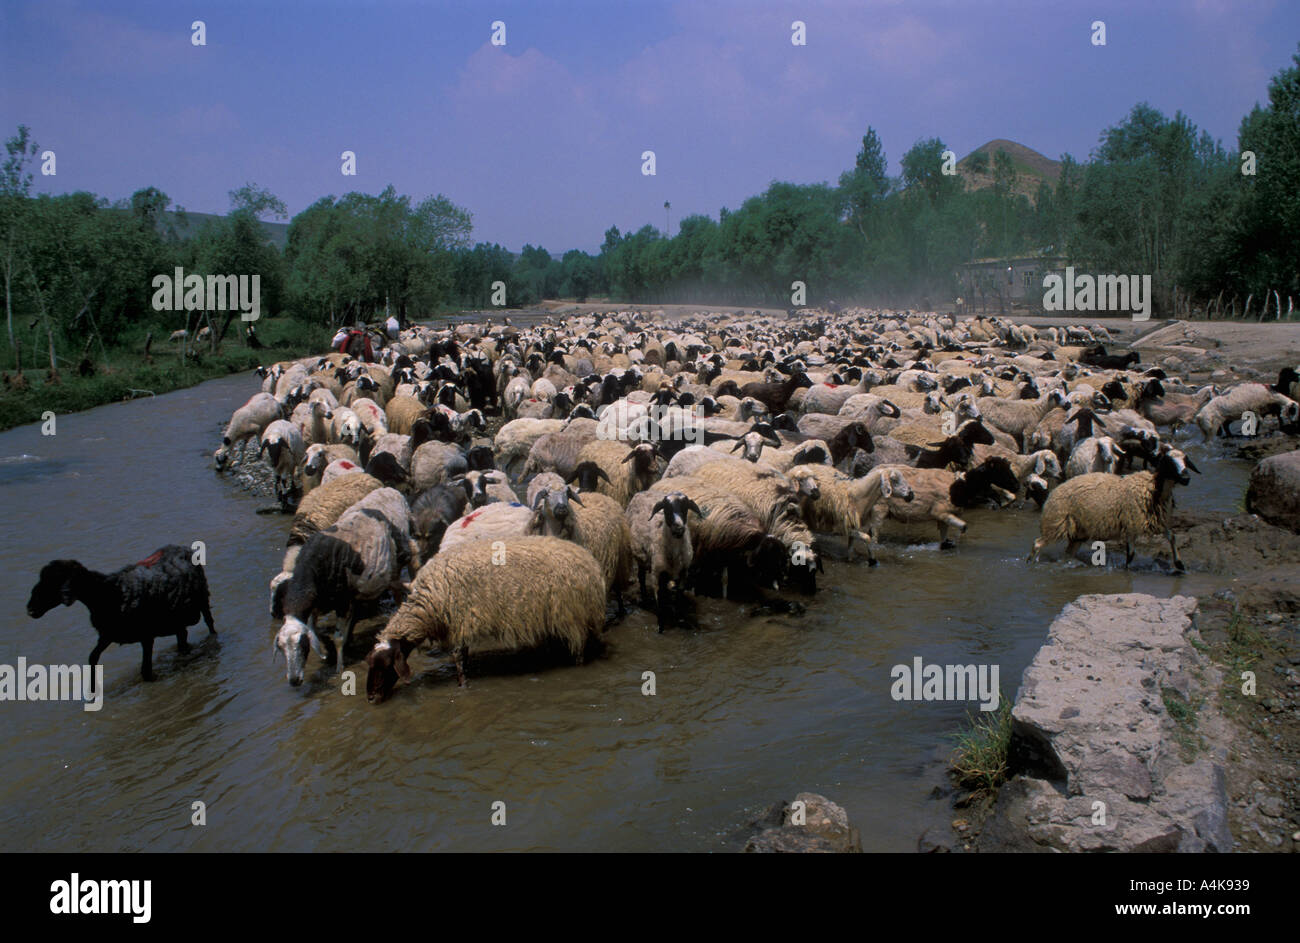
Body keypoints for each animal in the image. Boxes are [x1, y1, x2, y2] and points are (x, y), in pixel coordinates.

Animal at [26, 545, 214, 688]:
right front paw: (92, 691)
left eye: (53, 581)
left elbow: (146, 670)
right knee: (182, 635)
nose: (30, 609)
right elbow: (92, 657)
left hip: (203, 599)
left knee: (209, 623)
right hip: (177, 619)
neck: (110, 592)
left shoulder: (146, 636)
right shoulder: (108, 634)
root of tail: (181, 547)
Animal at [365, 537, 606, 701]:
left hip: (573, 617)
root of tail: (591, 563)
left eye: (385, 665)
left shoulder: (459, 623)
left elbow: (459, 659)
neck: (429, 605)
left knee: (579, 651)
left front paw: (462, 686)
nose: (370, 698)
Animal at [625, 490, 701, 629]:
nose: (678, 528)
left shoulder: (683, 573)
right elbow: (659, 602)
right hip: (640, 558)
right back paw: (644, 598)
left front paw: (679, 618)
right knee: (641, 577)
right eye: (666, 508)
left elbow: (679, 597)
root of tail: (642, 492)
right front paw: (660, 627)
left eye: (685, 506)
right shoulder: (656, 573)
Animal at [1030, 446, 1200, 569]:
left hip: (1078, 531)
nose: (1186, 478)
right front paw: (1126, 571)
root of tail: (1054, 491)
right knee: (1037, 543)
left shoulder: (1159, 521)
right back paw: (1032, 563)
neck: (1153, 488)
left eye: (1185, 461)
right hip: (1055, 523)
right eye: (1170, 462)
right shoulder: (1131, 524)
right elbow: (1130, 554)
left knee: (1068, 552)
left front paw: (1179, 565)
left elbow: (1172, 536)